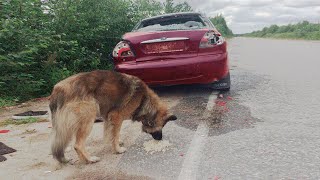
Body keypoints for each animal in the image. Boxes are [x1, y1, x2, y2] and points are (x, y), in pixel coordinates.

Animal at [49, 69, 178, 164]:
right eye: (161, 127)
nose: (160, 139)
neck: (143, 100)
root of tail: (58, 90)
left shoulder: (108, 117)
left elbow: (110, 133)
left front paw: (114, 142)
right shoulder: (116, 117)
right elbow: (115, 134)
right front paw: (117, 150)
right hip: (89, 117)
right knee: (77, 145)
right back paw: (90, 159)